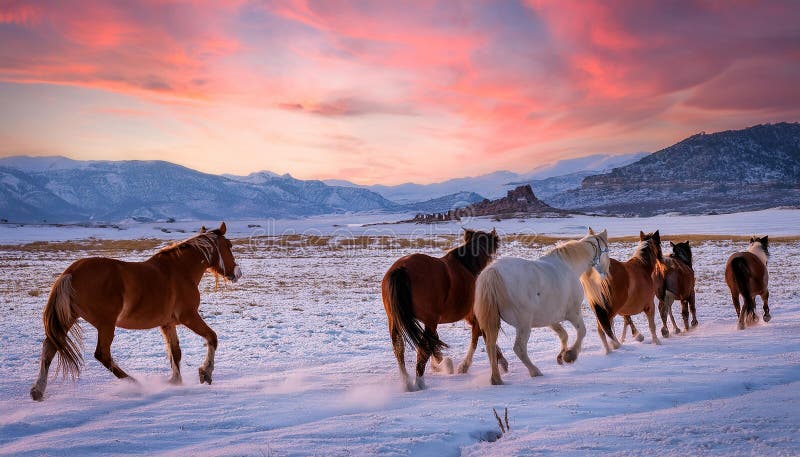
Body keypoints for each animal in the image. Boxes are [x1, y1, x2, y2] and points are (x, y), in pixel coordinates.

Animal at [30, 222, 241, 401]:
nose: (237, 273)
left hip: (69, 319)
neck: (180, 271)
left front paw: (175, 382)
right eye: (229, 245)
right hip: (106, 324)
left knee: (49, 348)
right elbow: (212, 337)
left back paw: (37, 390)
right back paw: (134, 383)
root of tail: (70, 273)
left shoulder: (167, 323)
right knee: (102, 354)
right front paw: (206, 372)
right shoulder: (189, 317)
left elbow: (175, 353)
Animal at [381, 229, 508, 391]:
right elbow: (480, 337)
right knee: (423, 349)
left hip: (395, 320)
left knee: (400, 348)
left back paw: (407, 383)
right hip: (430, 321)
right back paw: (420, 382)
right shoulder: (475, 316)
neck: (468, 266)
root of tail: (401, 269)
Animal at [474, 229, 611, 385]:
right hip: (523, 325)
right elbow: (581, 331)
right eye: (607, 250)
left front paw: (561, 356)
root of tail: (493, 272)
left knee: (491, 347)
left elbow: (563, 334)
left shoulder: (550, 319)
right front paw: (570, 355)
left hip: (494, 324)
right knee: (519, 348)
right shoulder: (573, 313)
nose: (607, 271)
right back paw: (535, 371)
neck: (569, 265)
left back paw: (496, 379)